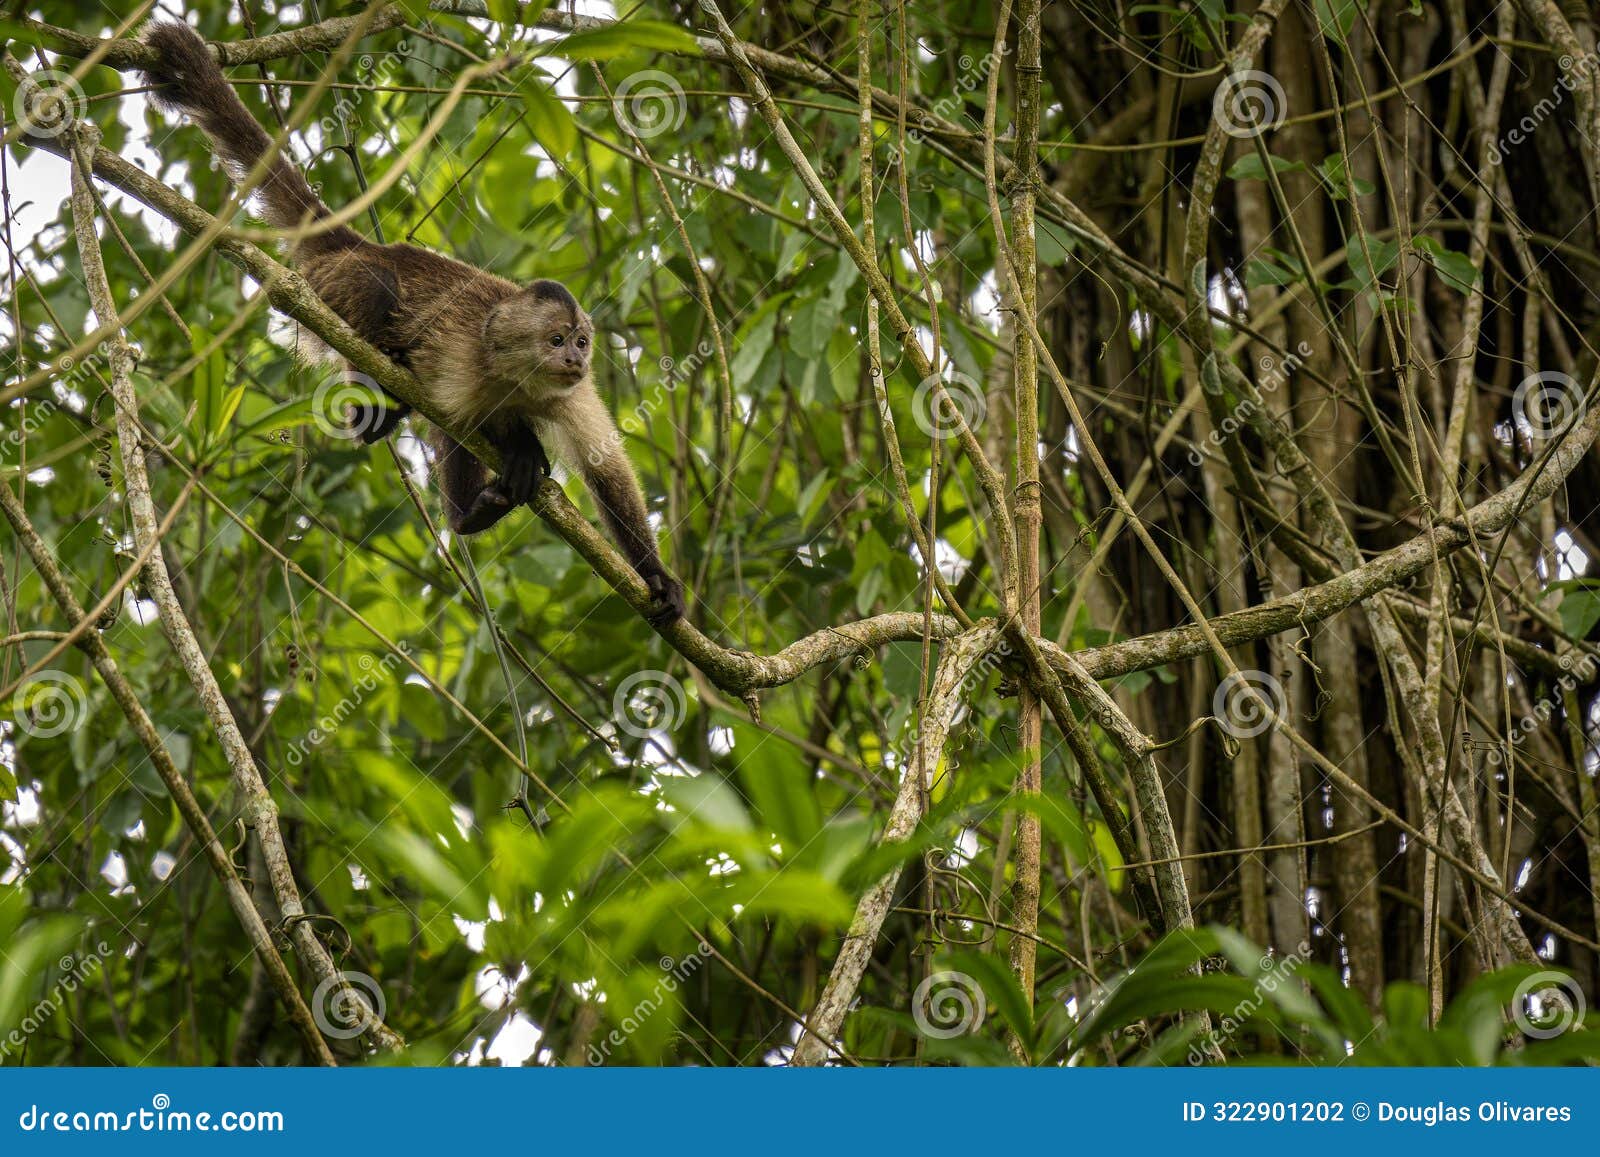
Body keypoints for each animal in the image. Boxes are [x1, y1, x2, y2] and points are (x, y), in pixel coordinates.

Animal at [139, 21, 685, 625]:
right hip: (333, 281)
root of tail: (360, 244)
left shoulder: (572, 392)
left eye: (583, 342)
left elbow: (607, 470)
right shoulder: (470, 369)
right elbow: (455, 422)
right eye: (557, 339)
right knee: (376, 297)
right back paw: (386, 417)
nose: (575, 358)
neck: (518, 378)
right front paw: (490, 486)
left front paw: (656, 577)